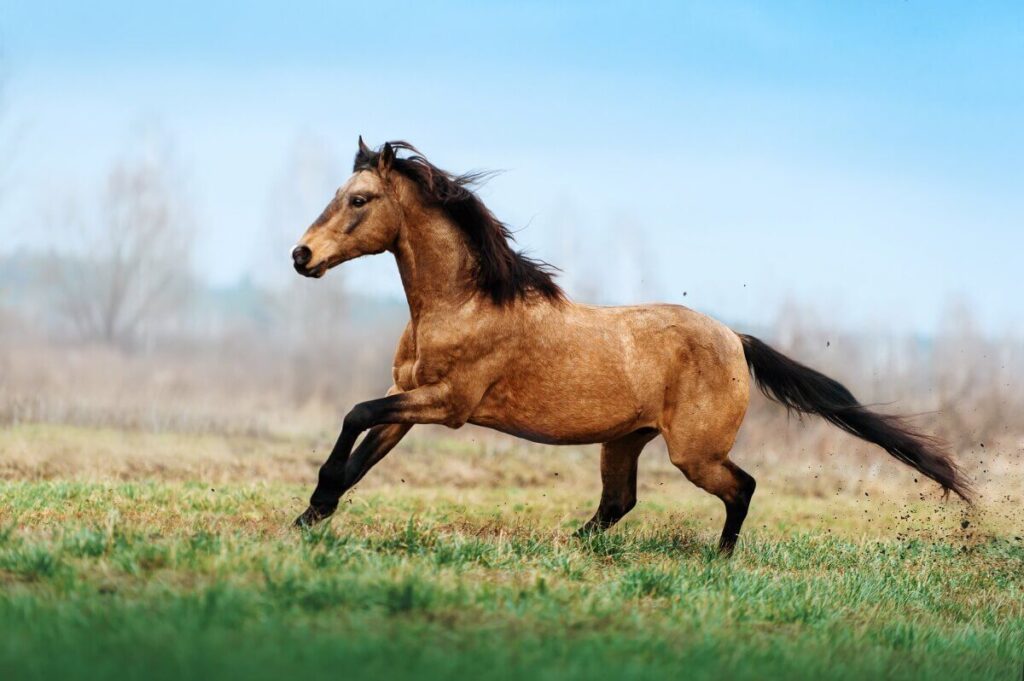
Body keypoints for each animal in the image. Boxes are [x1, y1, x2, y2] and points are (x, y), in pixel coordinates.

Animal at [290, 138, 971, 554]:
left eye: (359, 199)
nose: (302, 256)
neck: (462, 303)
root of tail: (736, 339)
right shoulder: (407, 397)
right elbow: (361, 454)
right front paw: (309, 518)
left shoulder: (448, 402)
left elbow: (354, 417)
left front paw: (311, 508)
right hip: (625, 439)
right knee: (620, 502)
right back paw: (573, 547)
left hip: (694, 453)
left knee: (741, 488)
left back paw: (718, 561)